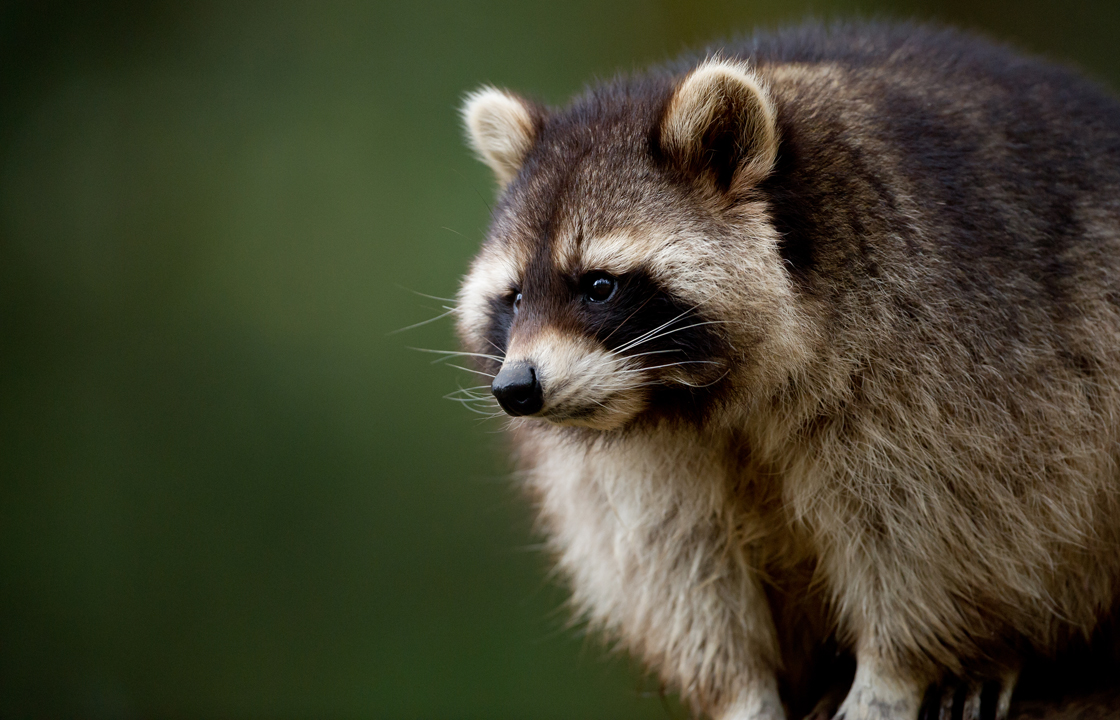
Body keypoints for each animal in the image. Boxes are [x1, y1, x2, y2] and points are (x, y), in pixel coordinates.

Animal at [455, 22, 1120, 720]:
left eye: (599, 286)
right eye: (515, 298)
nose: (516, 389)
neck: (691, 394)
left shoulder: (940, 353)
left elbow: (940, 524)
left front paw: (893, 672)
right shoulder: (634, 459)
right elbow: (674, 564)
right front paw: (738, 691)